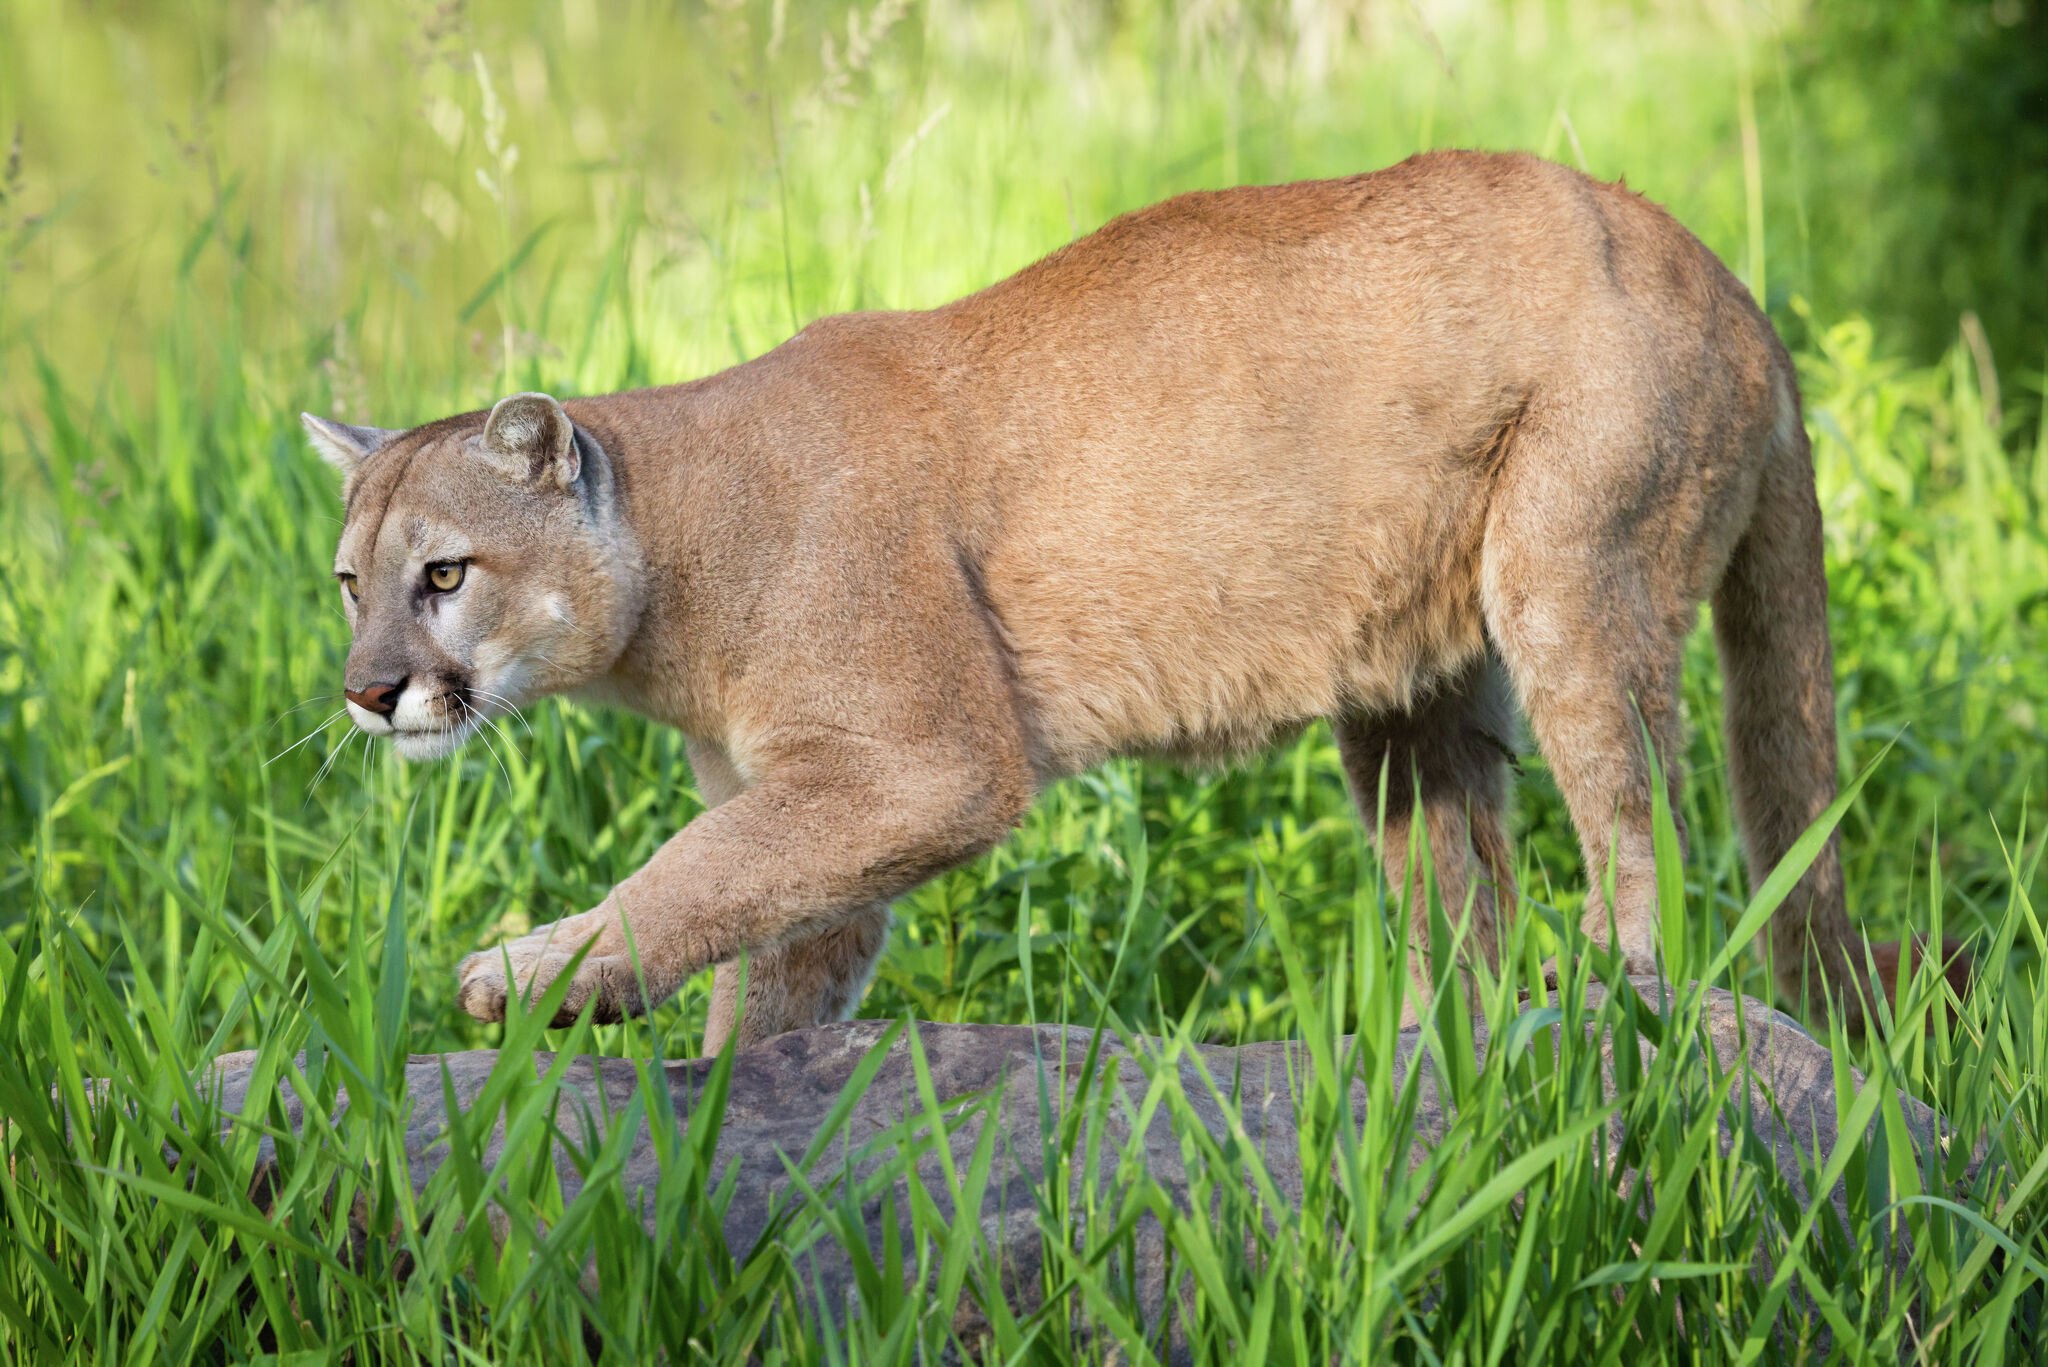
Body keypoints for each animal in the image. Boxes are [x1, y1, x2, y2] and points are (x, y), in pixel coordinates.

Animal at [303, 150, 1956, 1050]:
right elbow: (767, 934)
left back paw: (1616, 999)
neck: (677, 558)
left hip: (1575, 579)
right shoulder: (823, 800)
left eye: (445, 573)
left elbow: (693, 874)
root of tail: (1719, 266)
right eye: (349, 583)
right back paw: (1438, 1065)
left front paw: (529, 976)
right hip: (1411, 694)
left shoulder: (923, 761)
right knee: (1464, 886)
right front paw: (704, 1091)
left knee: (1646, 826)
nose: (370, 689)